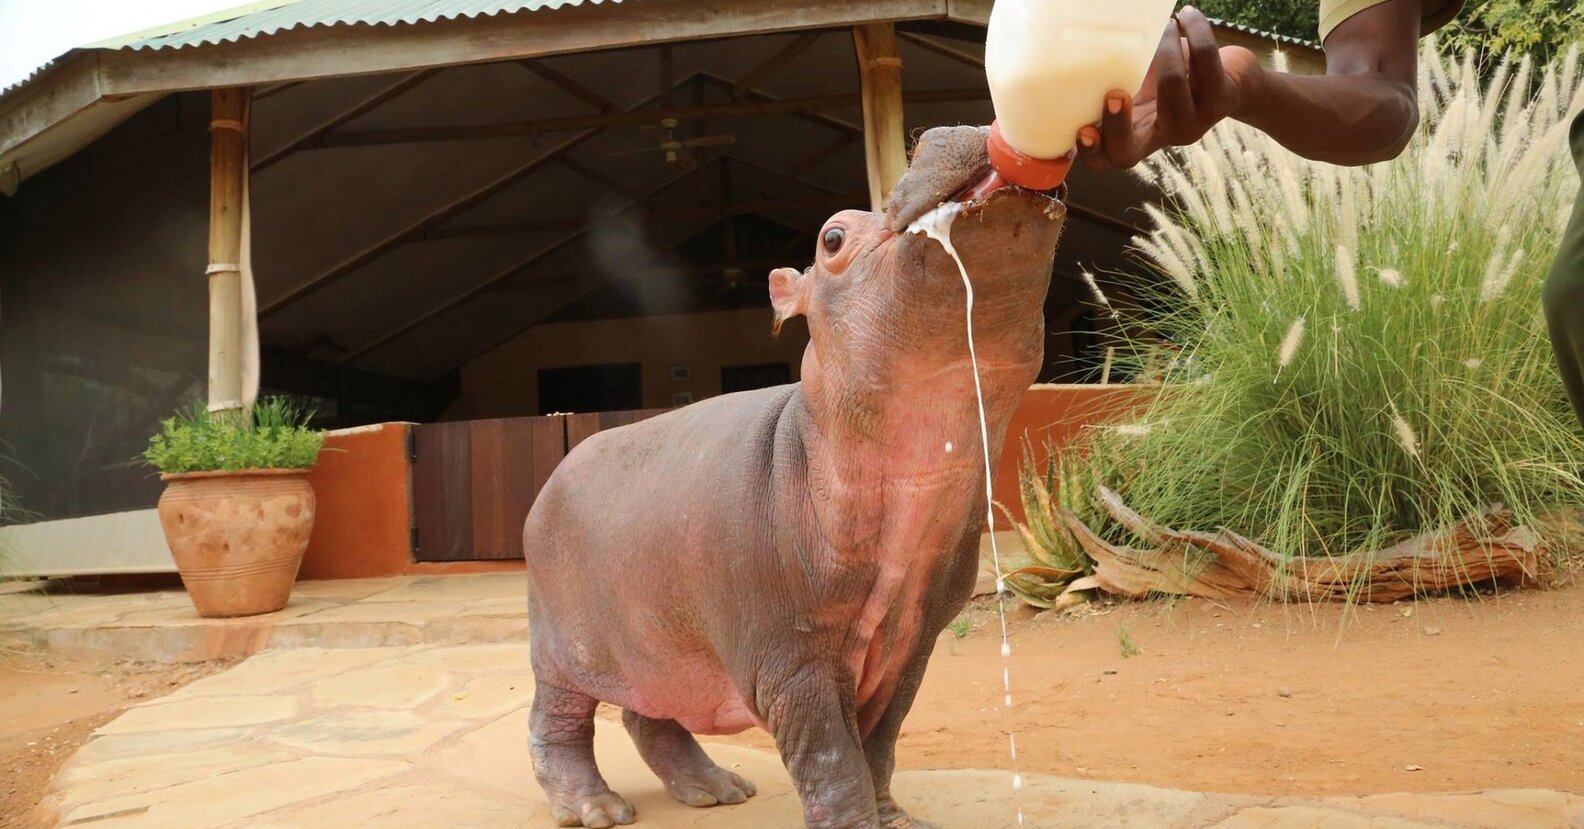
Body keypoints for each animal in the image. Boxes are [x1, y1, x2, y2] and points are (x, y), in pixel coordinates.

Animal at [524, 125, 1066, 829]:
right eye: (832, 239)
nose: (949, 130)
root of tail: (554, 474)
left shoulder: (917, 636)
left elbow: (880, 744)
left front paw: (897, 820)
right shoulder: (788, 655)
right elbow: (832, 758)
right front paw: (857, 824)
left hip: (658, 639)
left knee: (651, 715)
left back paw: (719, 791)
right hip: (564, 647)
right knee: (556, 722)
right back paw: (597, 809)